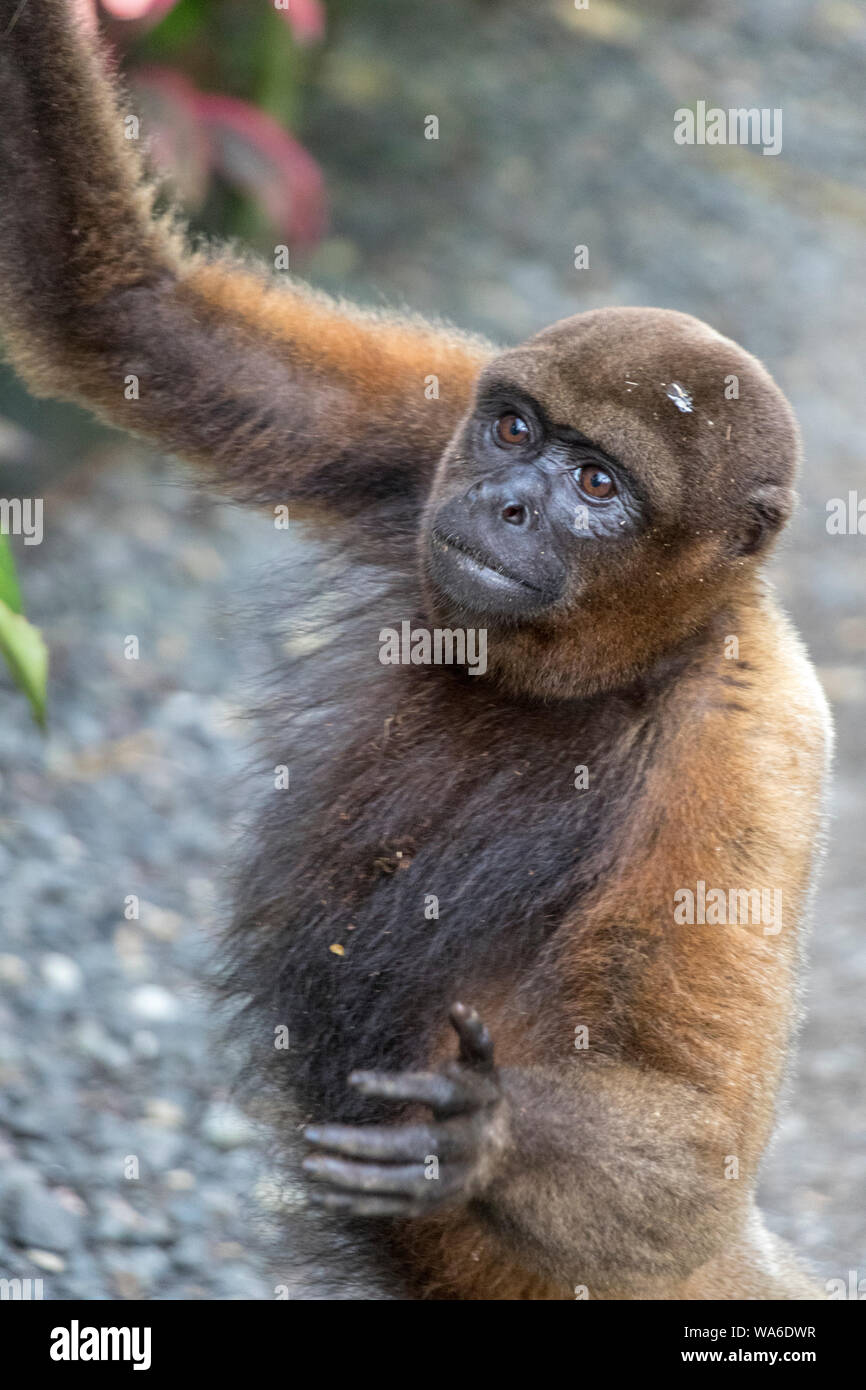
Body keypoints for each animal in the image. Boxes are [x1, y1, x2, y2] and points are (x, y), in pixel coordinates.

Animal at [0, 1, 832, 1300]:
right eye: (514, 430)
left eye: (598, 484)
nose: (506, 504)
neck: (624, 656)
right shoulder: (425, 420)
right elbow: (130, 308)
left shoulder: (752, 743)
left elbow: (694, 1155)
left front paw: (486, 1135)